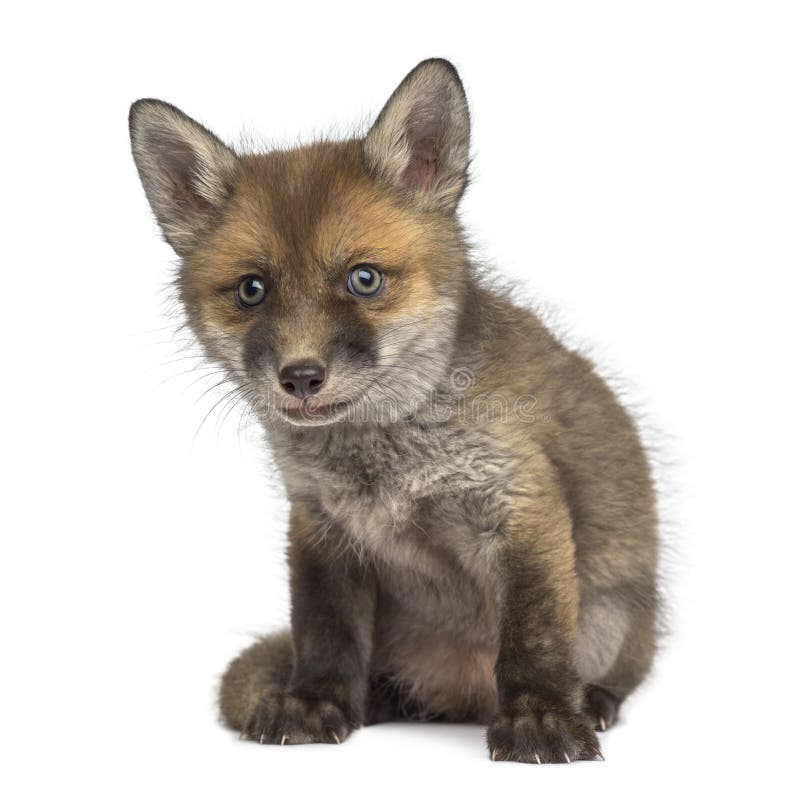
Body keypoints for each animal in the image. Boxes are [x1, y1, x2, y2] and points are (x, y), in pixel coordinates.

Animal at [129, 58, 659, 764]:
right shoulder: (320, 526)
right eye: (252, 290)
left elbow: (534, 637)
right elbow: (325, 632)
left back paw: (592, 701)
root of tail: (457, 695)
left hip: (612, 621)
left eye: (364, 280)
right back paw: (374, 702)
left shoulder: (520, 501)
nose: (300, 377)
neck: (384, 461)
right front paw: (316, 705)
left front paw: (542, 718)